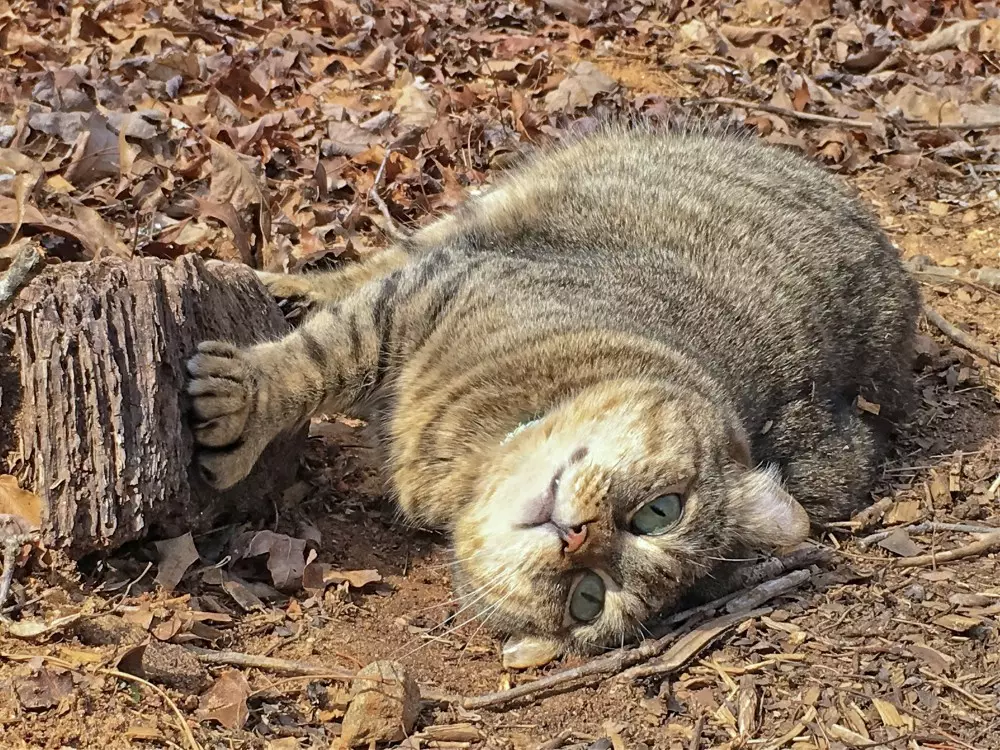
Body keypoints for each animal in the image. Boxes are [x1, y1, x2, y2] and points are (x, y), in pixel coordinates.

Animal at [184, 123, 916, 668]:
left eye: (587, 598)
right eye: (661, 512)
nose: (577, 538)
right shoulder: (431, 293)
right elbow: (319, 356)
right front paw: (247, 399)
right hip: (500, 207)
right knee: (391, 256)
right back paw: (283, 287)